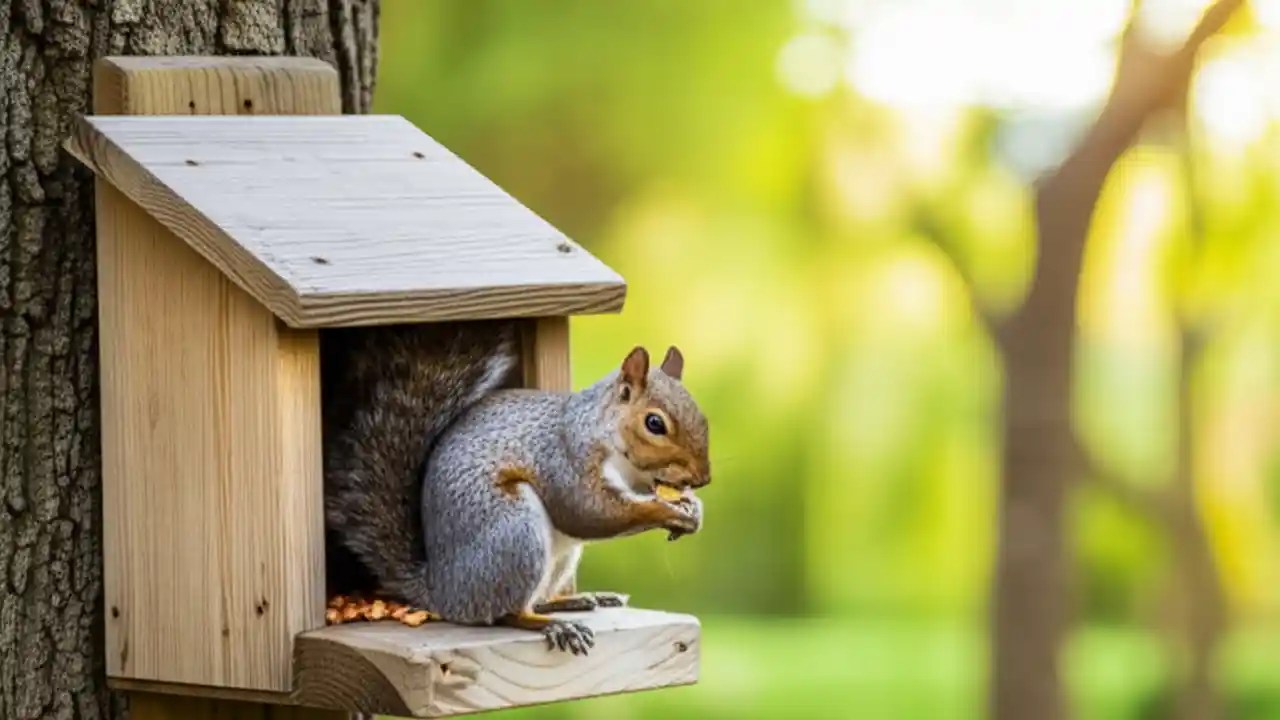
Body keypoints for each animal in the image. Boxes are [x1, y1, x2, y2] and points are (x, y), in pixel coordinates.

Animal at [322, 319, 710, 655]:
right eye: (654, 423)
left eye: (702, 417)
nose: (703, 478)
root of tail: (443, 591)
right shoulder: (565, 458)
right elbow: (587, 511)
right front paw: (665, 511)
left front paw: (692, 509)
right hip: (515, 531)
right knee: (507, 612)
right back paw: (552, 625)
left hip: (557, 555)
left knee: (537, 598)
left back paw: (578, 599)